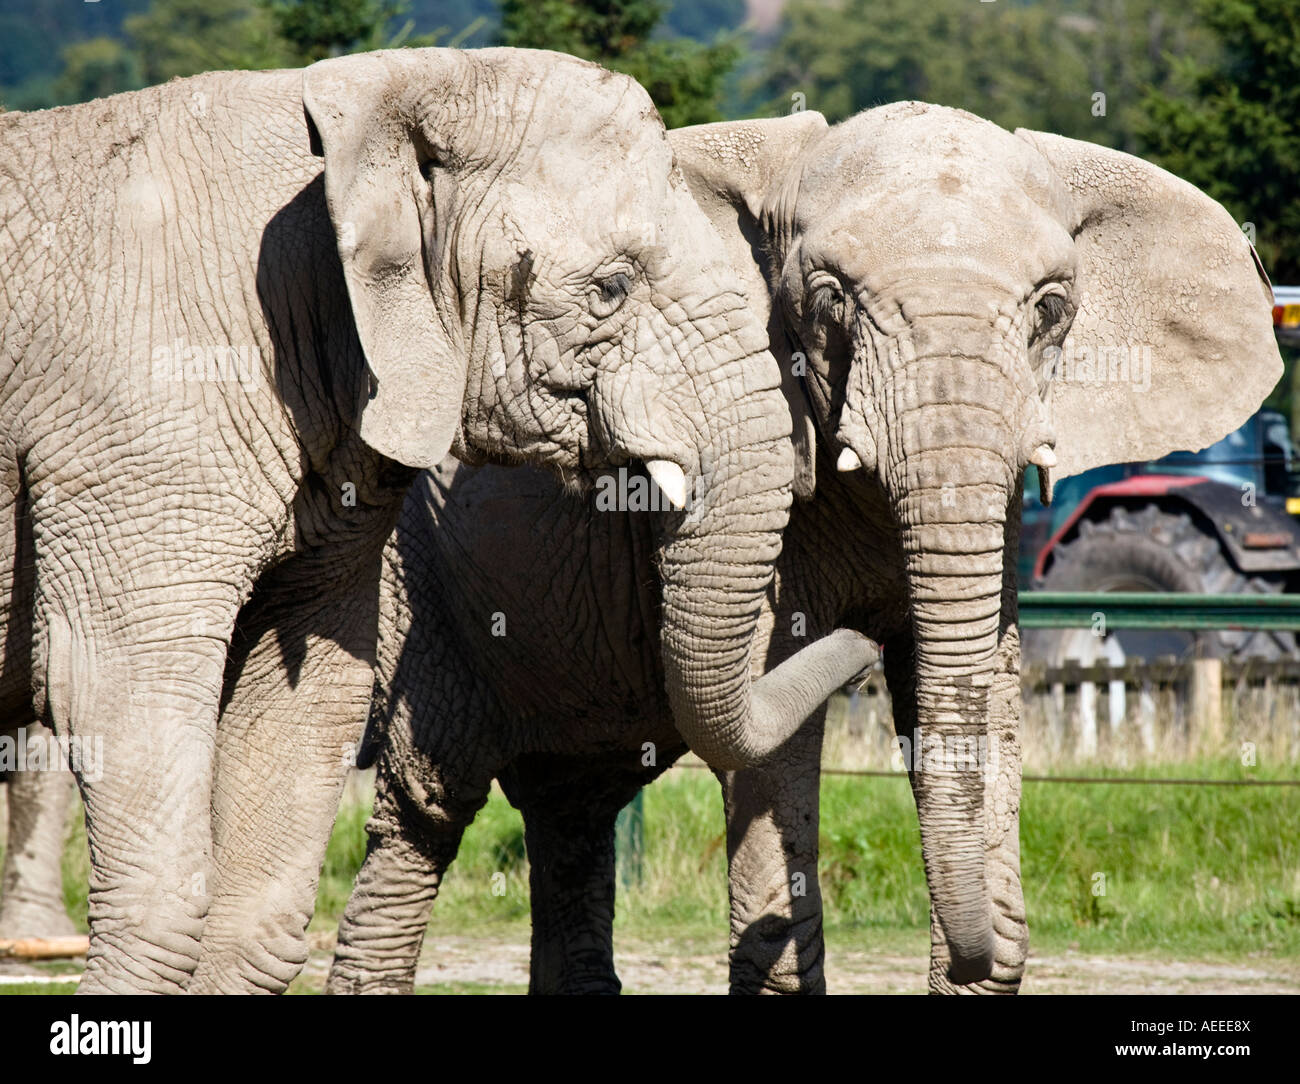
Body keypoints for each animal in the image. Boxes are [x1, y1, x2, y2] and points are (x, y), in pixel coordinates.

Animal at [0, 47, 874, 993]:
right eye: (610, 289)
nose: (863, 637)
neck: (371, 108)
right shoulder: (134, 427)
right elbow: (112, 681)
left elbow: (306, 709)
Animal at [327, 101, 1280, 995]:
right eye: (830, 303)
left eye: (1051, 309)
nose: (859, 639)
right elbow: (769, 733)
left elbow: (983, 693)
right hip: (417, 579)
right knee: (428, 806)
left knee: (574, 807)